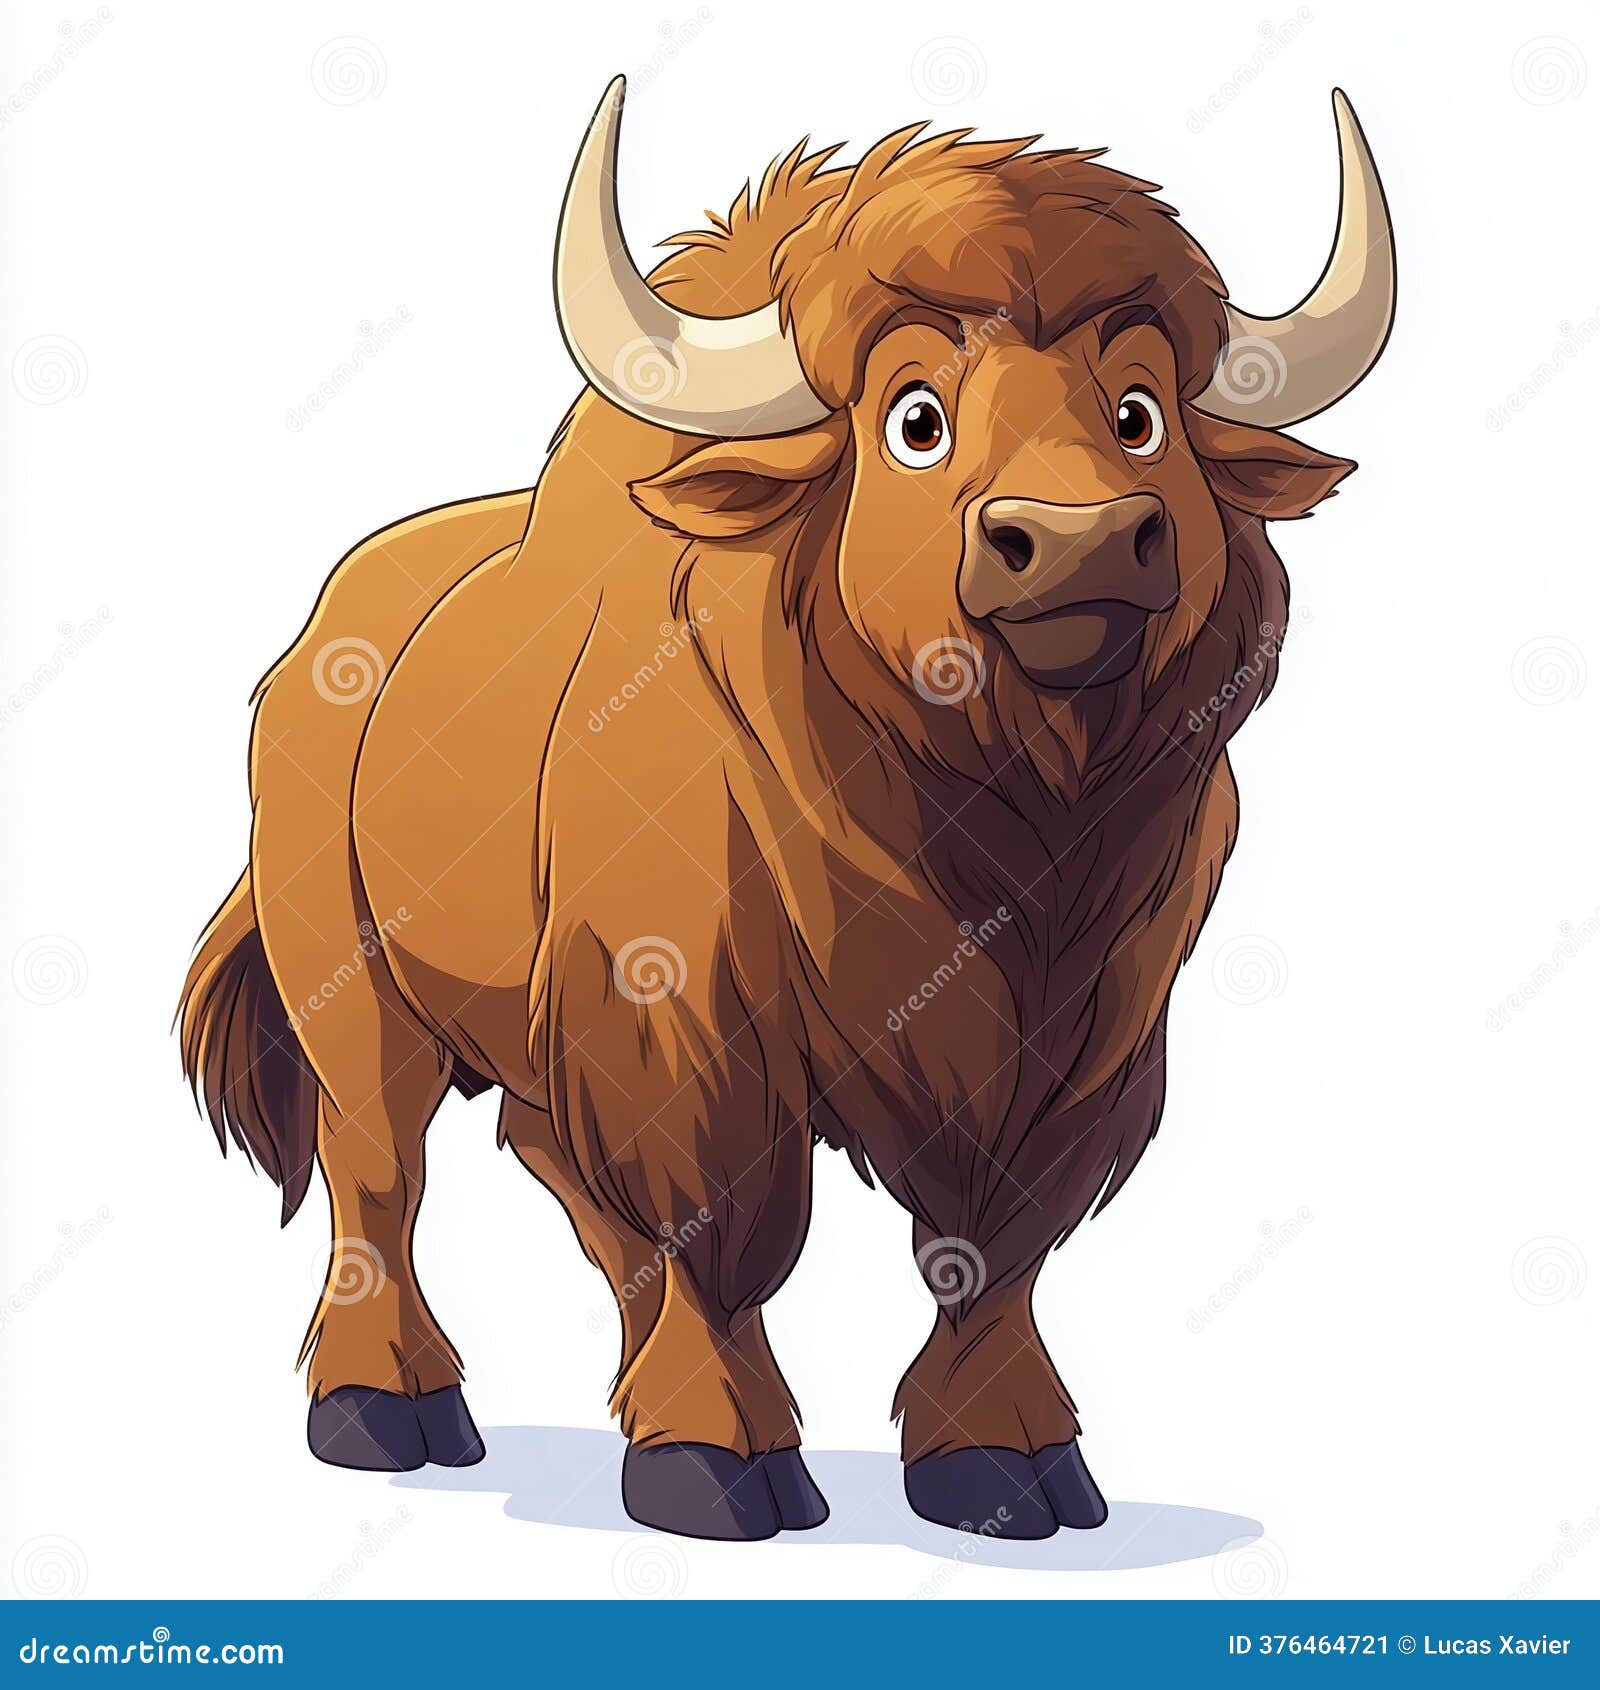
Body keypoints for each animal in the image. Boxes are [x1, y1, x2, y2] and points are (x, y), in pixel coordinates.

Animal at [179, 78, 1394, 1541]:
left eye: (1139, 411)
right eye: (914, 417)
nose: (1082, 537)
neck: (982, 821)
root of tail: (316, 644)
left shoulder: (1090, 1032)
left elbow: (997, 1241)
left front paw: (1010, 1462)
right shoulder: (682, 1019)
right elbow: (727, 1221)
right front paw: (717, 1463)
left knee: (546, 1172)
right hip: (355, 994)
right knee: (378, 1176)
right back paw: (388, 1409)